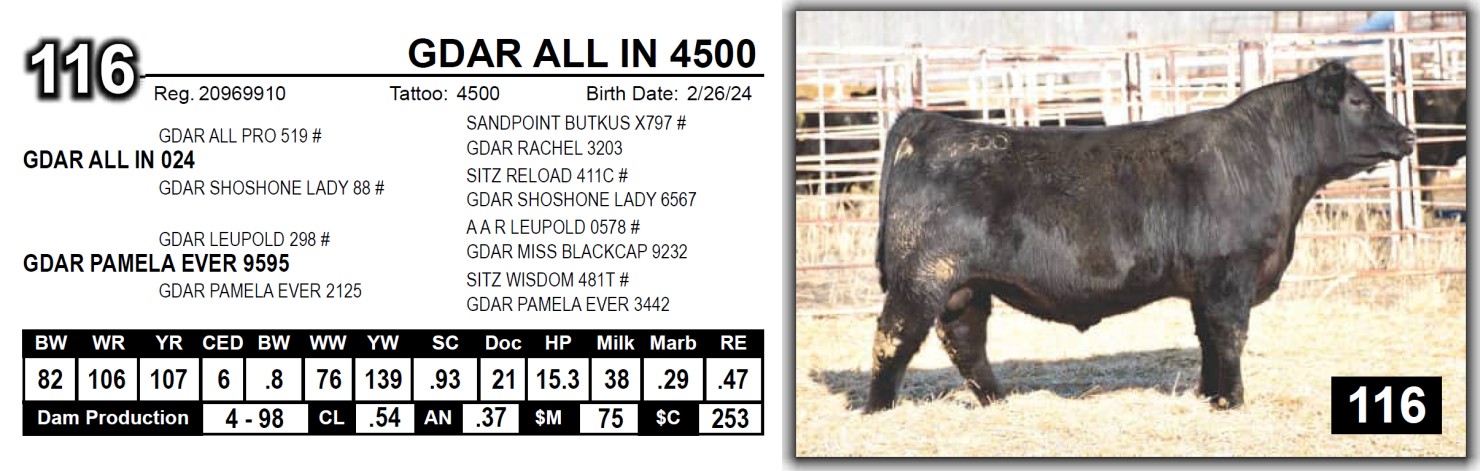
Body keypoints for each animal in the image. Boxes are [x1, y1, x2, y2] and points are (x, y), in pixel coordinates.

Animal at [867, 62, 1415, 412]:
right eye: (1358, 101)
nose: (1408, 136)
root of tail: (928, 121)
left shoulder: (1205, 286)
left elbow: (1208, 338)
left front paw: (1211, 397)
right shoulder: (1229, 275)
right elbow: (1230, 335)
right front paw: (1234, 401)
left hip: (965, 285)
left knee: (964, 340)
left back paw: (998, 402)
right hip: (921, 278)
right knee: (893, 337)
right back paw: (880, 409)